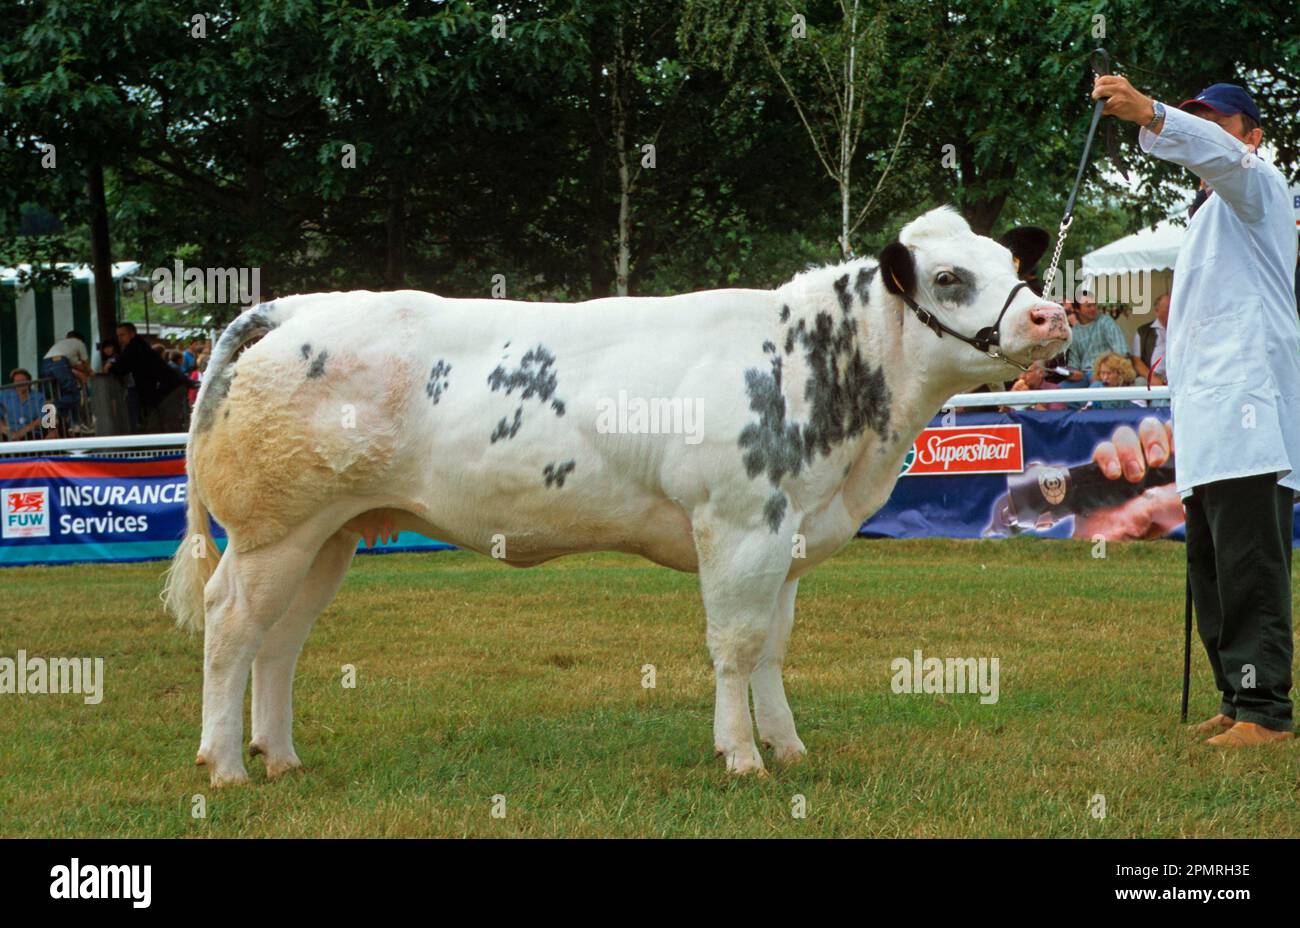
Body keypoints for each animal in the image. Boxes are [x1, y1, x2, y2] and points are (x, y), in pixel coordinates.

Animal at [164, 206, 1070, 786]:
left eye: (1015, 267)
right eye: (949, 276)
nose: (1052, 316)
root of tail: (292, 309)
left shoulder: (791, 534)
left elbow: (772, 648)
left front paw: (788, 749)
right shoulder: (739, 525)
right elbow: (735, 646)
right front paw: (741, 758)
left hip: (331, 534)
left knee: (280, 640)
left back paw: (280, 757)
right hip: (273, 529)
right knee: (231, 625)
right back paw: (226, 766)